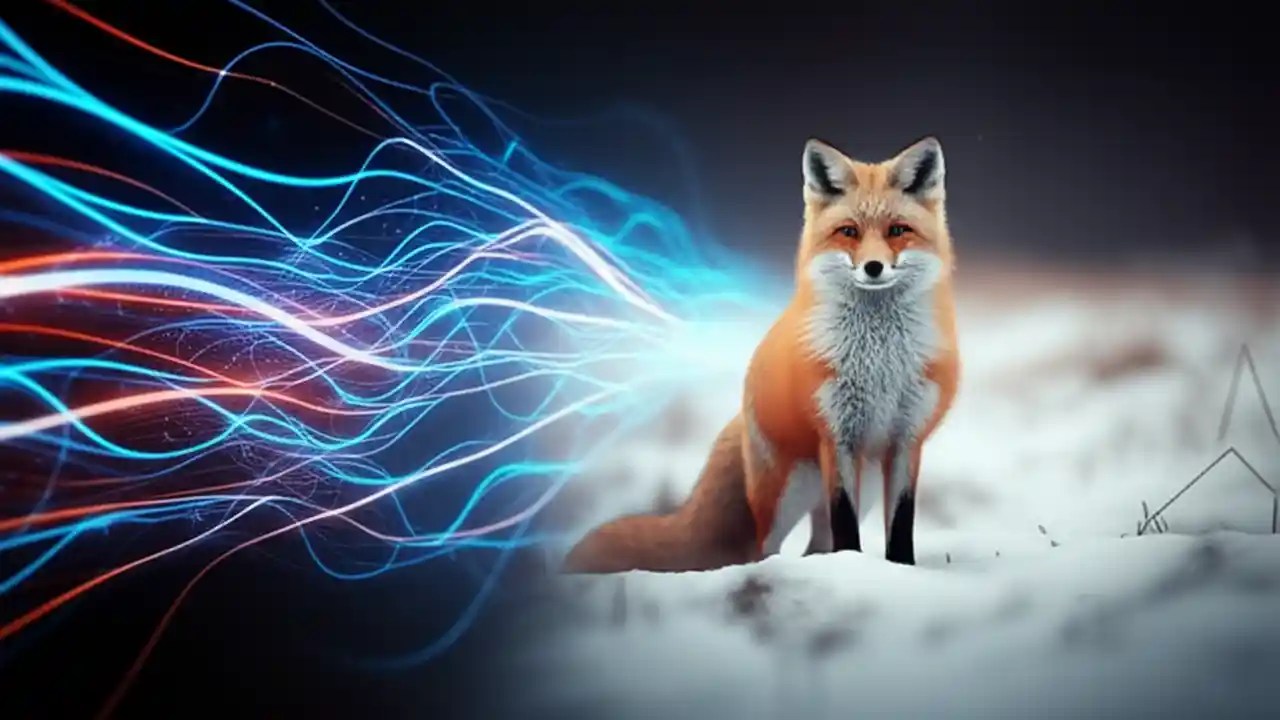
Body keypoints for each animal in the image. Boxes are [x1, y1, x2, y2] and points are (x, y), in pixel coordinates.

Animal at [563, 135, 960, 573]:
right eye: (849, 232)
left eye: (898, 231)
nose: (873, 267)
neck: (879, 362)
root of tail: (742, 413)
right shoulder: (836, 436)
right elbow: (845, 523)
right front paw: (853, 566)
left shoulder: (907, 439)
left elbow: (902, 523)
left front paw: (903, 570)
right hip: (784, 492)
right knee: (761, 549)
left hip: (866, 481)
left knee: (815, 546)